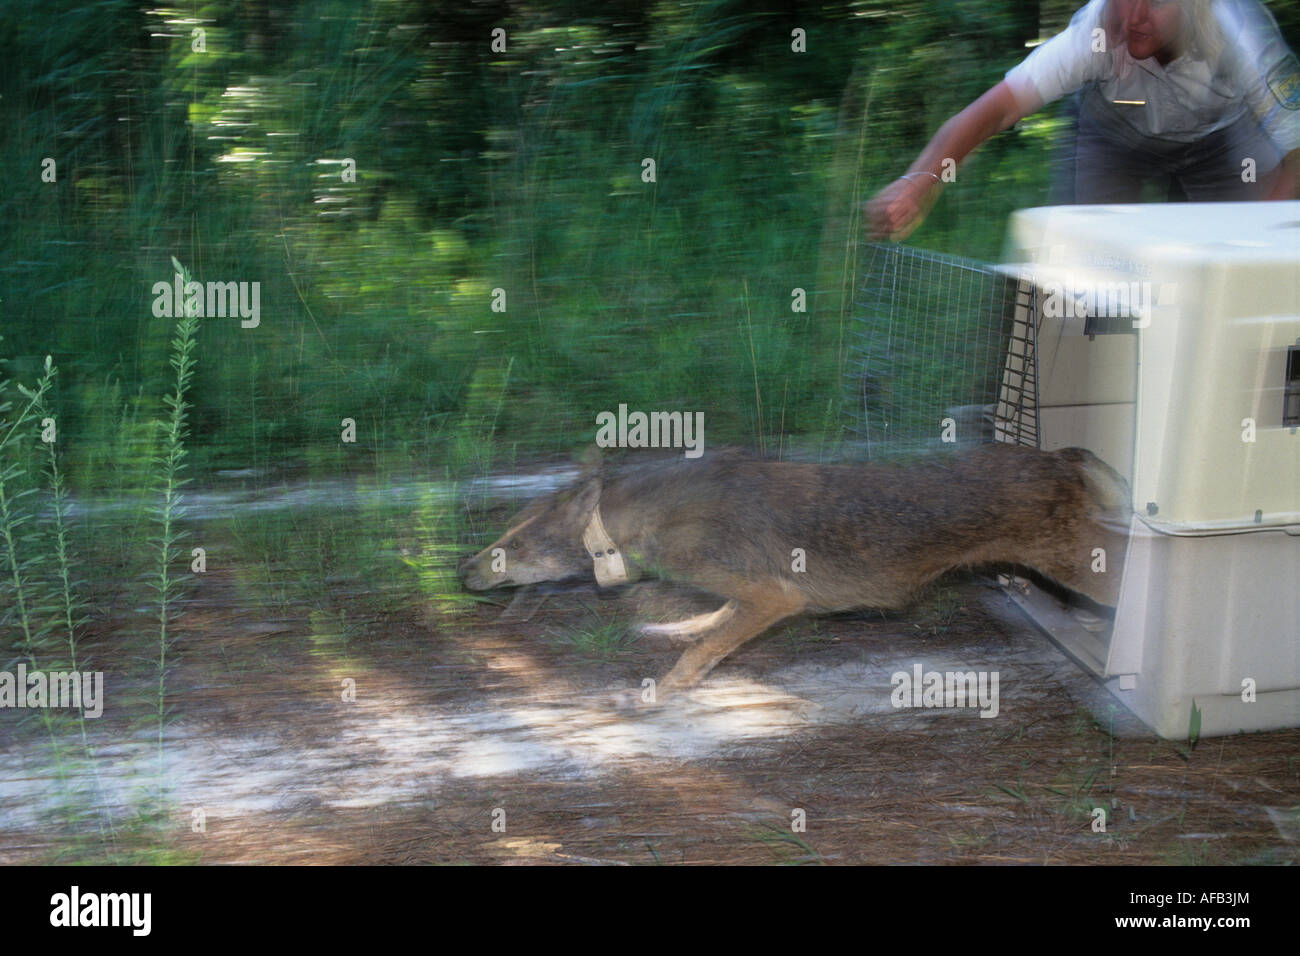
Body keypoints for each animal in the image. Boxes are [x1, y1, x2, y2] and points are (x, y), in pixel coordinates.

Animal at [460, 443, 1131, 699]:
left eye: (512, 544)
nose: (459, 572)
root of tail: (1059, 455)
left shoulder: (774, 597)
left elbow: (703, 648)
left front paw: (665, 692)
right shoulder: (751, 598)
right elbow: (709, 626)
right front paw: (677, 636)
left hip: (1085, 566)